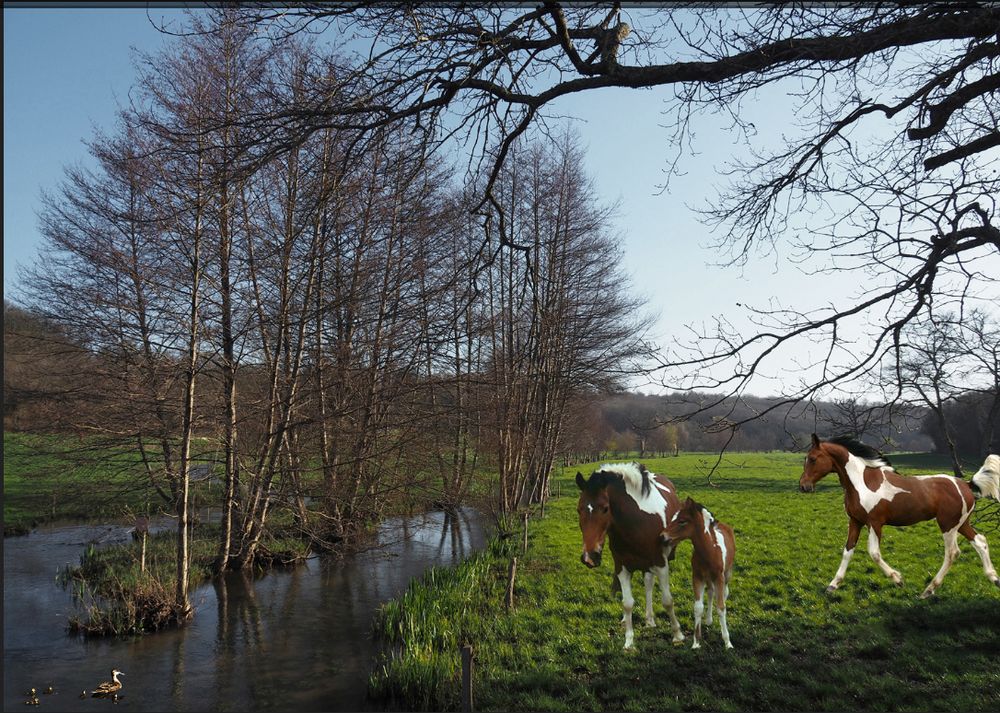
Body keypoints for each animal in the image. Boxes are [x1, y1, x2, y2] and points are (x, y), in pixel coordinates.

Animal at [576, 462, 685, 649]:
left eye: (605, 508)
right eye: (579, 510)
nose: (590, 557)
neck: (637, 523)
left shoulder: (661, 563)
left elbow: (667, 600)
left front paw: (677, 635)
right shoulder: (622, 567)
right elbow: (627, 604)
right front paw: (628, 641)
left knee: (649, 584)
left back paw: (651, 620)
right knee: (647, 584)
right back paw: (643, 619)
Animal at [660, 496, 735, 649]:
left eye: (682, 521)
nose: (662, 537)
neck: (709, 551)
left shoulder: (719, 577)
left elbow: (721, 607)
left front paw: (727, 642)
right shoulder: (697, 576)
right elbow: (698, 607)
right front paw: (696, 642)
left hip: (727, 574)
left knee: (724, 593)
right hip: (708, 578)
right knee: (711, 592)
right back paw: (708, 619)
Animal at [799, 434, 1000, 597]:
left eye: (813, 459)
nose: (803, 486)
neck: (862, 483)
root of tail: (966, 484)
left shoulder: (874, 523)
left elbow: (874, 553)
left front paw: (898, 579)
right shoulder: (855, 521)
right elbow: (848, 550)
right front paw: (833, 585)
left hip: (948, 525)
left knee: (952, 553)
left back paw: (928, 590)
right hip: (961, 523)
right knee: (980, 542)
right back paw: (994, 578)